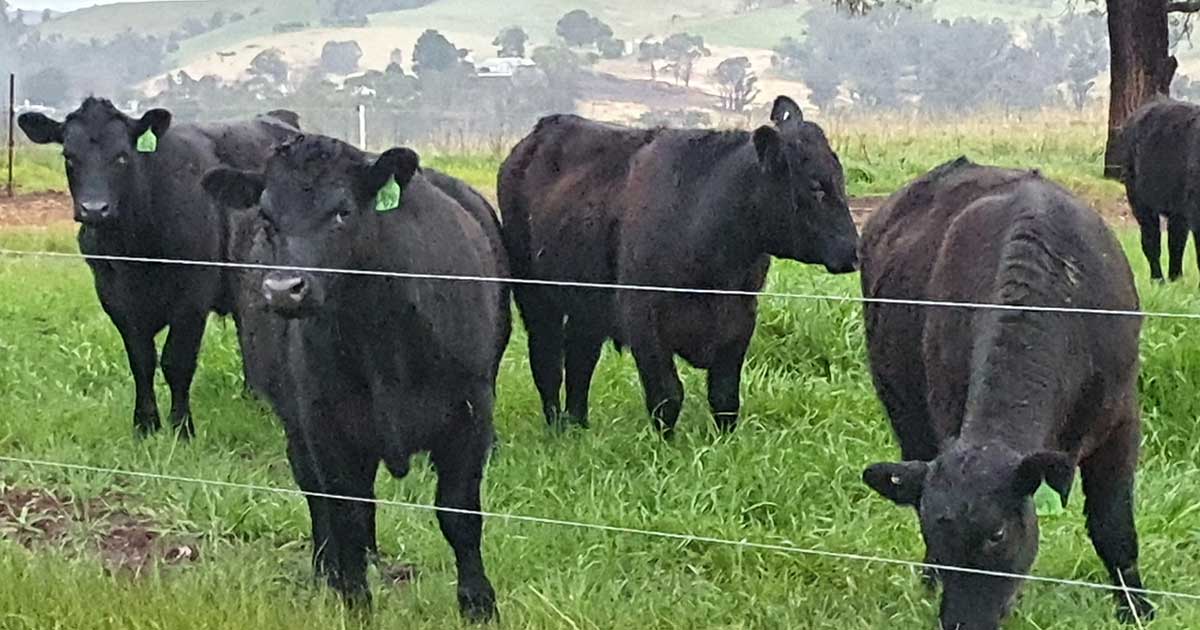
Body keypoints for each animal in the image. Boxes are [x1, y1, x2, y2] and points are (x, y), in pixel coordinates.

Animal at [18, 98, 299, 438]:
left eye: (122, 156)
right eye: (68, 157)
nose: (94, 209)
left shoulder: (192, 299)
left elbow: (176, 362)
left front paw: (182, 429)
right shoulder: (115, 299)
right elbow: (142, 361)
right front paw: (145, 426)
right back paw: (252, 396)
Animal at [202, 134, 511, 622]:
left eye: (342, 211)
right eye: (268, 216)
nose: (283, 289)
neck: (381, 337)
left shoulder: (471, 416)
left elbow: (459, 513)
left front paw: (478, 604)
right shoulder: (325, 425)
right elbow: (344, 511)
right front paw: (354, 601)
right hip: (297, 425)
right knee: (318, 495)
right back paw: (329, 570)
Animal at [499, 96, 859, 434]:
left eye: (841, 180)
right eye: (815, 186)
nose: (853, 252)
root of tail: (541, 130)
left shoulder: (741, 318)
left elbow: (725, 397)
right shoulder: (643, 320)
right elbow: (667, 396)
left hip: (588, 304)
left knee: (580, 359)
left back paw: (579, 425)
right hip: (536, 297)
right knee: (547, 360)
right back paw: (556, 426)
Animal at [859, 157, 1153, 629]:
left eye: (997, 534)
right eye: (932, 532)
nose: (962, 623)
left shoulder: (1121, 421)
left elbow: (1114, 526)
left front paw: (1137, 609)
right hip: (901, 404)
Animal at [1116, 96, 1200, 283]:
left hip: (1177, 211)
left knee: (1176, 241)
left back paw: (1176, 279)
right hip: (1139, 200)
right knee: (1151, 240)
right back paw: (1158, 280)